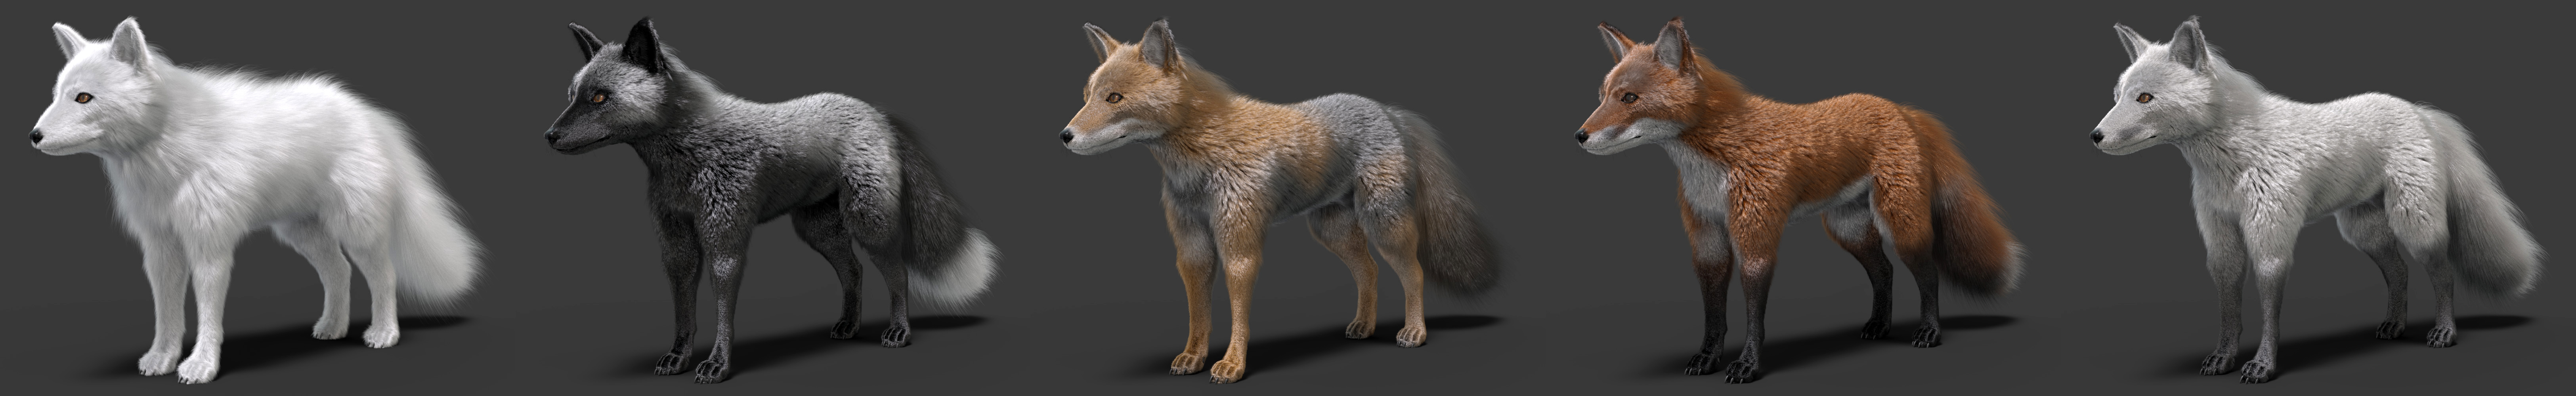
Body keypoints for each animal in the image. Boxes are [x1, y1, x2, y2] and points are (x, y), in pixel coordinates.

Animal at [29, 18, 483, 384]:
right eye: (56, 95)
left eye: (83, 98)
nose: (33, 136)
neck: (167, 149)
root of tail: (367, 113)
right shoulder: (161, 249)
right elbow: (167, 314)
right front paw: (162, 358)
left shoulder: (210, 249)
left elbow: (208, 316)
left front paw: (201, 366)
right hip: (302, 234)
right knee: (339, 271)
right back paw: (332, 326)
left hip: (357, 231)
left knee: (383, 276)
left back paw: (384, 333)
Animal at [545, 18, 999, 383]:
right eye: (572, 95)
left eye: (600, 97)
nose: (549, 136)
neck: (687, 155)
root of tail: (876, 114)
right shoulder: (677, 245)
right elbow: (683, 312)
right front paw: (678, 358)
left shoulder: (725, 240)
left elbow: (722, 311)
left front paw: (718, 365)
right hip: (818, 230)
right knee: (853, 271)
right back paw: (848, 326)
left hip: (867, 221)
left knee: (897, 272)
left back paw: (899, 332)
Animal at [1059, 19, 1500, 384]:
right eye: (1087, 95)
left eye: (1115, 98)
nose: (1064, 136)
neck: (1200, 163)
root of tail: (1386, 110)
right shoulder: (1192, 247)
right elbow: (1199, 314)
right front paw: (1194, 357)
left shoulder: (1239, 243)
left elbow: (1238, 312)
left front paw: (1233, 365)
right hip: (1332, 231)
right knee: (1370, 271)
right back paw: (1364, 325)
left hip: (1383, 225)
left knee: (1414, 273)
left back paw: (1415, 331)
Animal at [1573, 18, 2024, 383]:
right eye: (1602, 95)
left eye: (1629, 98)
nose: (1579, 136)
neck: (1715, 159)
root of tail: (1900, 109)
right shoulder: (1707, 239)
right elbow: (1713, 314)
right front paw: (1707, 358)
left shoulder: (1755, 235)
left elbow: (1753, 318)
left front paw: (1748, 366)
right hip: (1848, 229)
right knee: (1884, 272)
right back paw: (1879, 325)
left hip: (1901, 224)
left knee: (1927, 274)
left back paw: (1929, 331)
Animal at [2092, 17, 2543, 383]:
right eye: (2116, 95)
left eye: (2145, 98)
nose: (2095, 137)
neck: (2231, 163)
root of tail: (2419, 111)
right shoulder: (2221, 239)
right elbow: (2228, 307)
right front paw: (2223, 358)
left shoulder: (2270, 236)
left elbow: (2268, 310)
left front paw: (2263, 366)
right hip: (2364, 231)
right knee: (2399, 272)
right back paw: (2393, 325)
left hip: (2414, 222)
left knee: (2443, 273)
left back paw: (2444, 332)